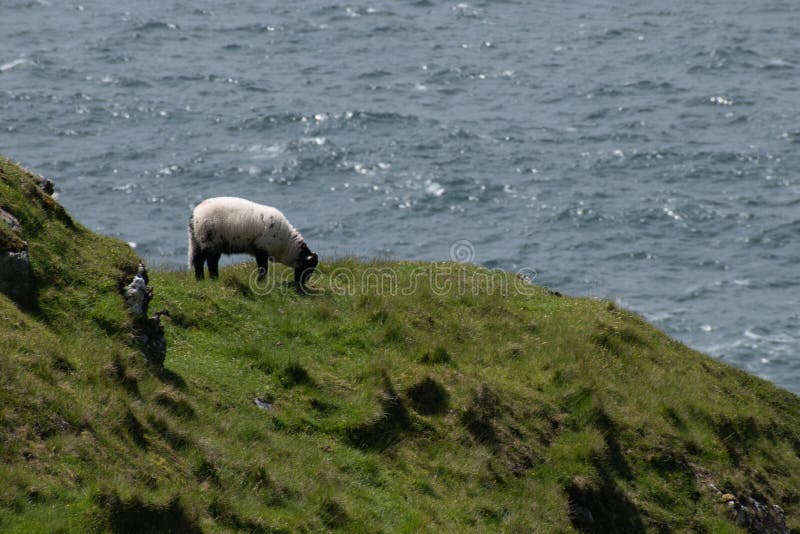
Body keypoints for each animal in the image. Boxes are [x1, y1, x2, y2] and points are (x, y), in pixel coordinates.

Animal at [188, 197, 318, 291]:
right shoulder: (262, 249)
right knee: (207, 262)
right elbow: (263, 268)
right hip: (209, 240)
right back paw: (211, 279)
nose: (303, 285)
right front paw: (261, 282)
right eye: (308, 267)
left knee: (200, 260)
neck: (286, 244)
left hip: (199, 241)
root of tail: (194, 215)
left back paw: (201, 279)